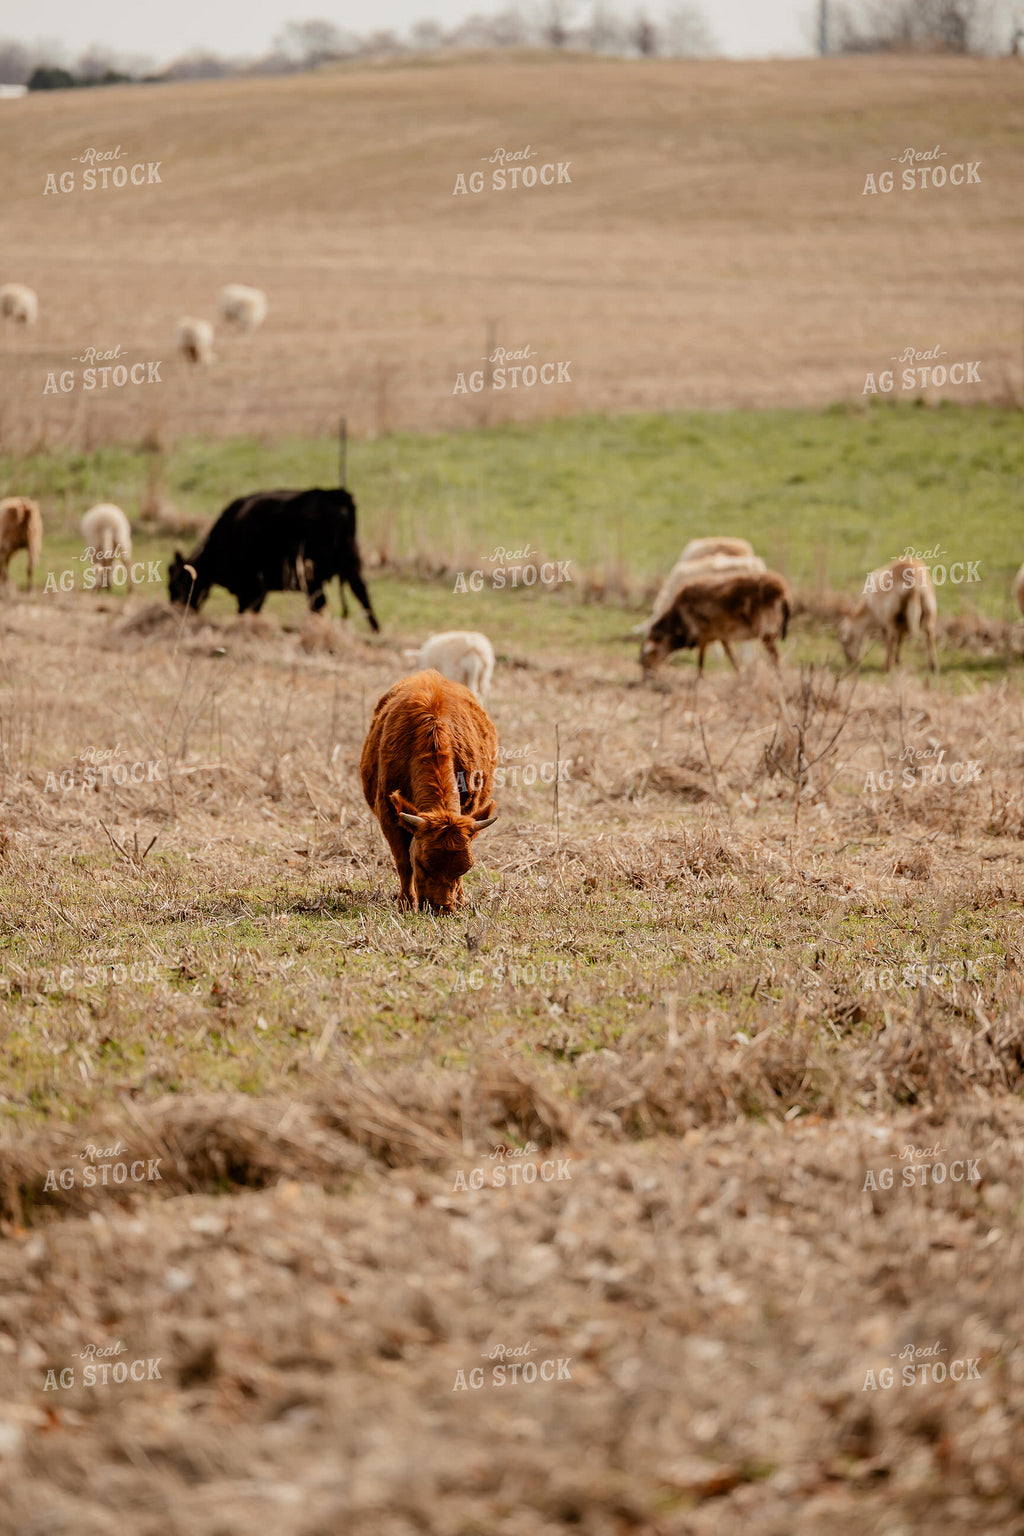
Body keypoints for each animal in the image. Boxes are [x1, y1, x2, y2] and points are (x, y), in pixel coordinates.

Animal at [167, 487, 380, 630]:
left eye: (177, 585)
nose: (176, 611)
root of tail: (333, 495)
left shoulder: (252, 589)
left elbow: (245, 609)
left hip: (313, 577)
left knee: (320, 603)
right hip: (350, 566)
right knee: (362, 593)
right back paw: (375, 629)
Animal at [361, 670, 498, 913]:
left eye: (466, 868)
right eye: (422, 864)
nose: (442, 907)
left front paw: (460, 899)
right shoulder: (388, 815)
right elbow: (403, 862)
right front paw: (406, 904)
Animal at [641, 571, 791, 676]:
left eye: (647, 660)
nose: (647, 678)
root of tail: (782, 592)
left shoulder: (703, 636)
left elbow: (700, 666)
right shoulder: (722, 636)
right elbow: (732, 659)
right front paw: (741, 677)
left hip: (766, 631)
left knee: (776, 658)